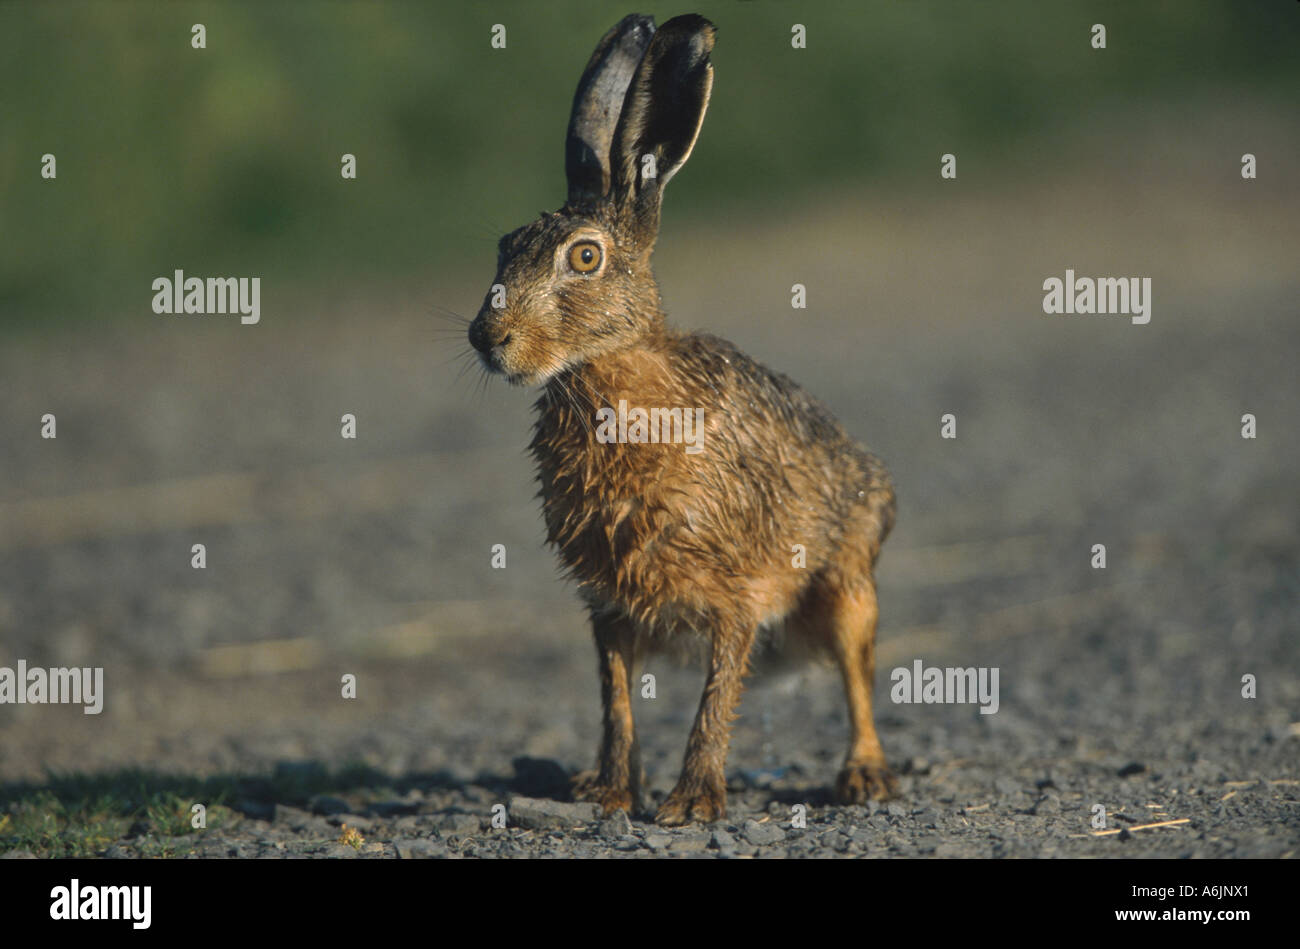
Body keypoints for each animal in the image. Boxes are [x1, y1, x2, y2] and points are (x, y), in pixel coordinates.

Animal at [468, 13, 897, 825]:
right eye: (505, 247)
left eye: (585, 258)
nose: (487, 338)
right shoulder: (607, 605)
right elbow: (616, 702)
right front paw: (609, 793)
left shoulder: (737, 592)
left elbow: (716, 698)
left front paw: (692, 804)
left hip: (846, 583)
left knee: (856, 673)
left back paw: (864, 777)